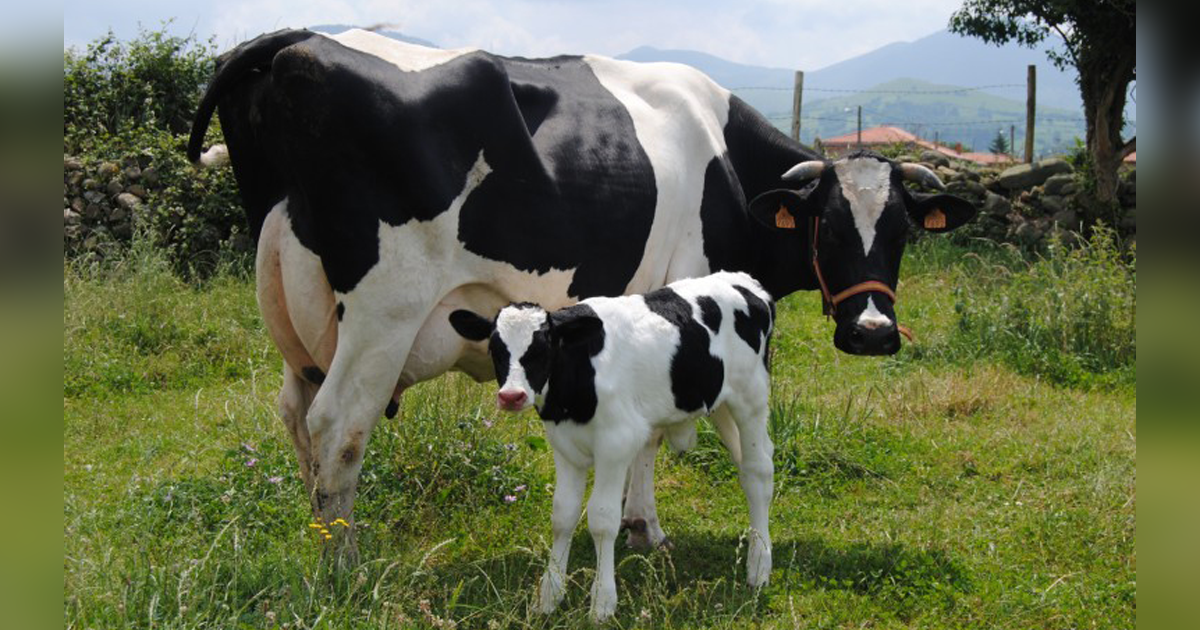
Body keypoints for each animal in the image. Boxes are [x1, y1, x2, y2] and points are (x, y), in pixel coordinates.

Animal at [186, 27, 977, 563]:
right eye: (830, 225)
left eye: (903, 229)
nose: (873, 331)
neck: (729, 166)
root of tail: (303, 41)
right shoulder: (683, 301)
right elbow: (661, 431)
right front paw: (646, 529)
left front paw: (635, 522)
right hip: (385, 309)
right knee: (338, 426)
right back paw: (343, 564)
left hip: (299, 319)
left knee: (296, 417)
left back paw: (318, 538)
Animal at [448, 271, 775, 621]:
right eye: (495, 348)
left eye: (543, 346)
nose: (511, 396)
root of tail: (743, 280)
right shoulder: (564, 446)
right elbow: (562, 515)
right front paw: (549, 595)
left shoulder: (616, 443)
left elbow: (603, 520)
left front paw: (602, 602)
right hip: (721, 403)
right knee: (748, 462)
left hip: (751, 397)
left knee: (758, 472)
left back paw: (759, 566)